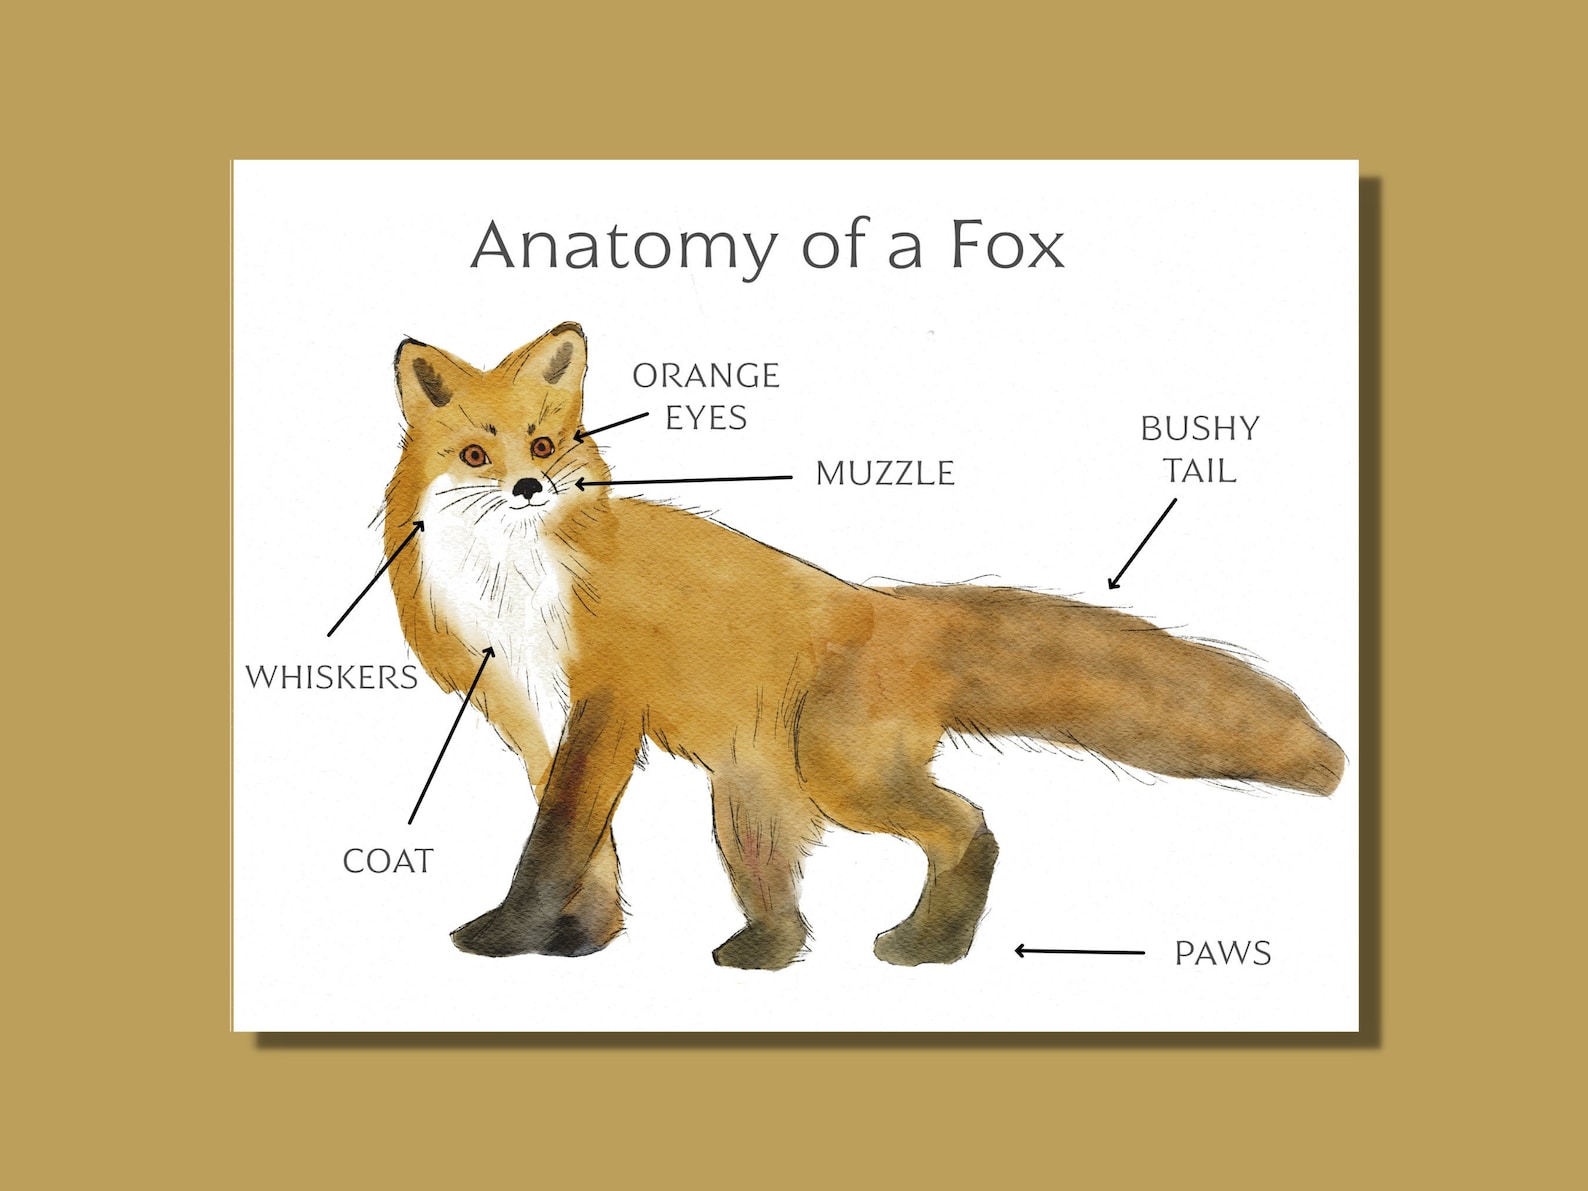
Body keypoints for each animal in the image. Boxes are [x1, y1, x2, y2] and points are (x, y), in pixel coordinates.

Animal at [384, 322, 1344, 970]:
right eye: (478, 454)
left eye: (543, 444)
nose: (529, 486)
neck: (511, 584)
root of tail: (870, 603)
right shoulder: (529, 715)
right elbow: (588, 846)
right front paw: (582, 938)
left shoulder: (605, 702)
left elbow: (554, 842)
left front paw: (510, 936)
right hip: (752, 801)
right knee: (793, 901)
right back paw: (767, 950)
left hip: (839, 774)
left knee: (970, 826)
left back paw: (930, 946)